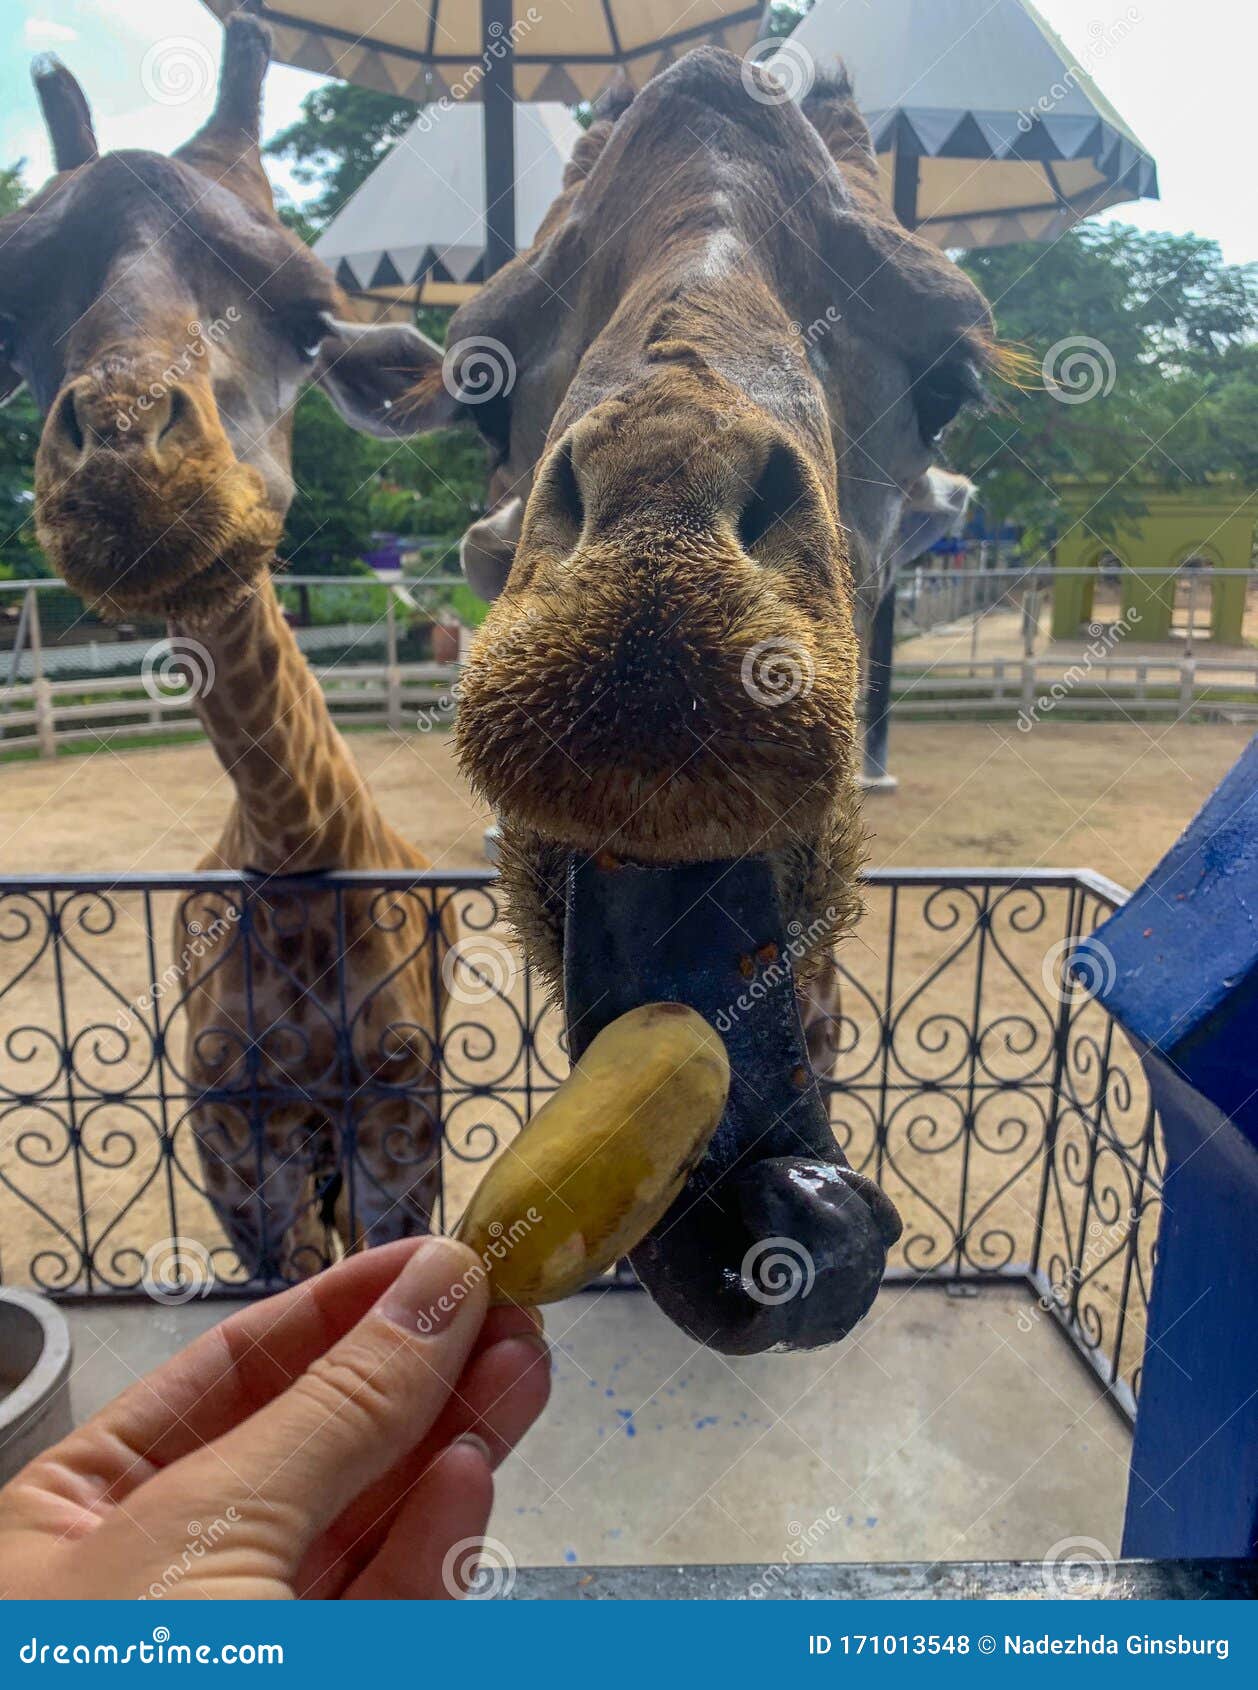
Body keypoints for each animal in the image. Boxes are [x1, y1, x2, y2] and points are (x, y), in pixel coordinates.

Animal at [5, 16, 465, 1280]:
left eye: (310, 321)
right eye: (12, 311)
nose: (125, 459)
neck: (298, 854)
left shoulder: (399, 1113)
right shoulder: (230, 1142)